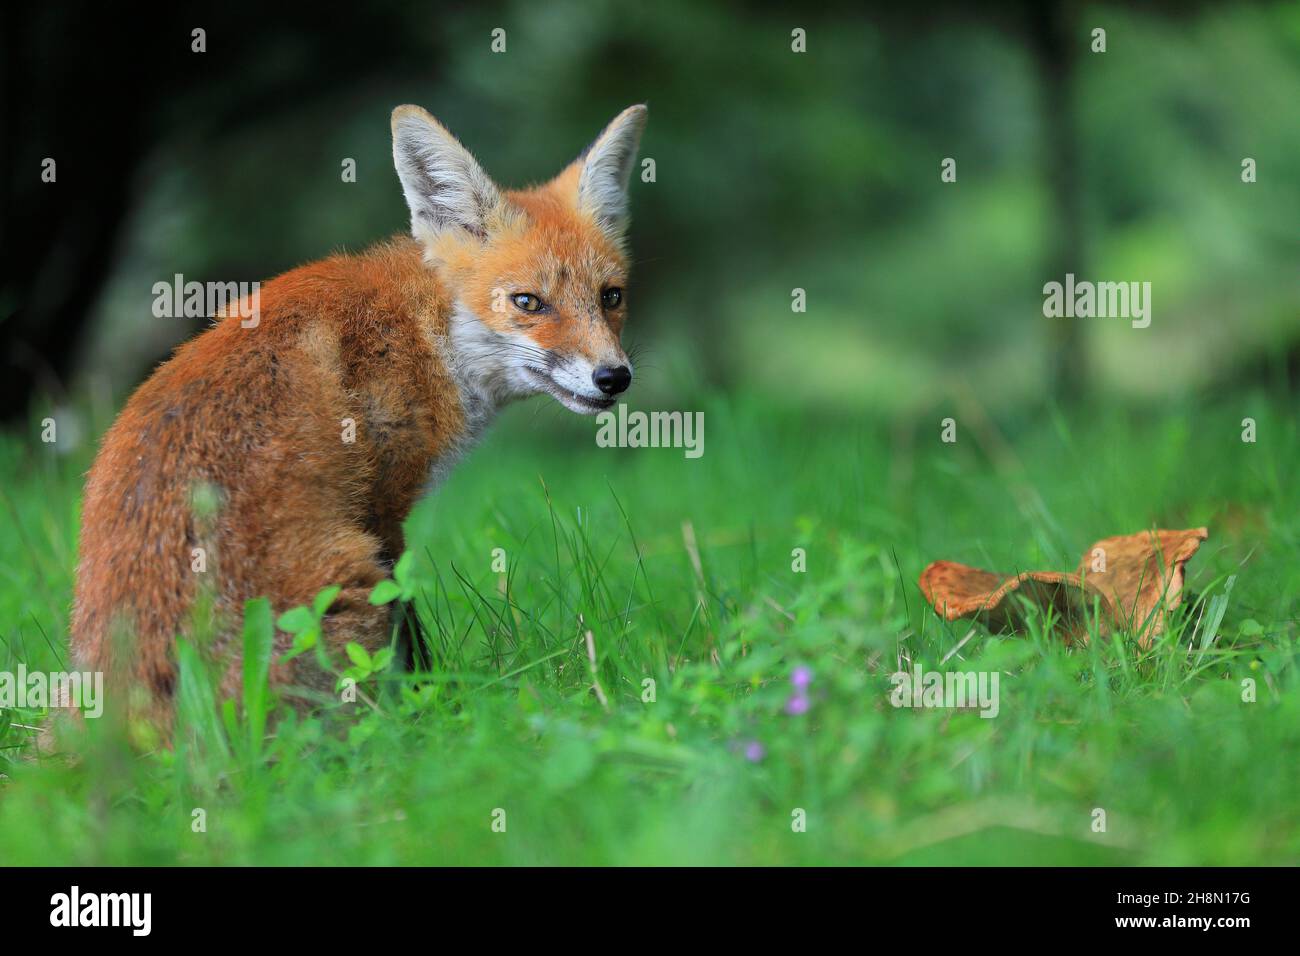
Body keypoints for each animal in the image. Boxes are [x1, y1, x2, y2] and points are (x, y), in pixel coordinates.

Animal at [65, 103, 647, 740]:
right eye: (527, 303)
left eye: (611, 296)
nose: (614, 377)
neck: (422, 329)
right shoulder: (384, 506)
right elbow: (411, 629)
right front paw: (437, 713)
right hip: (346, 586)